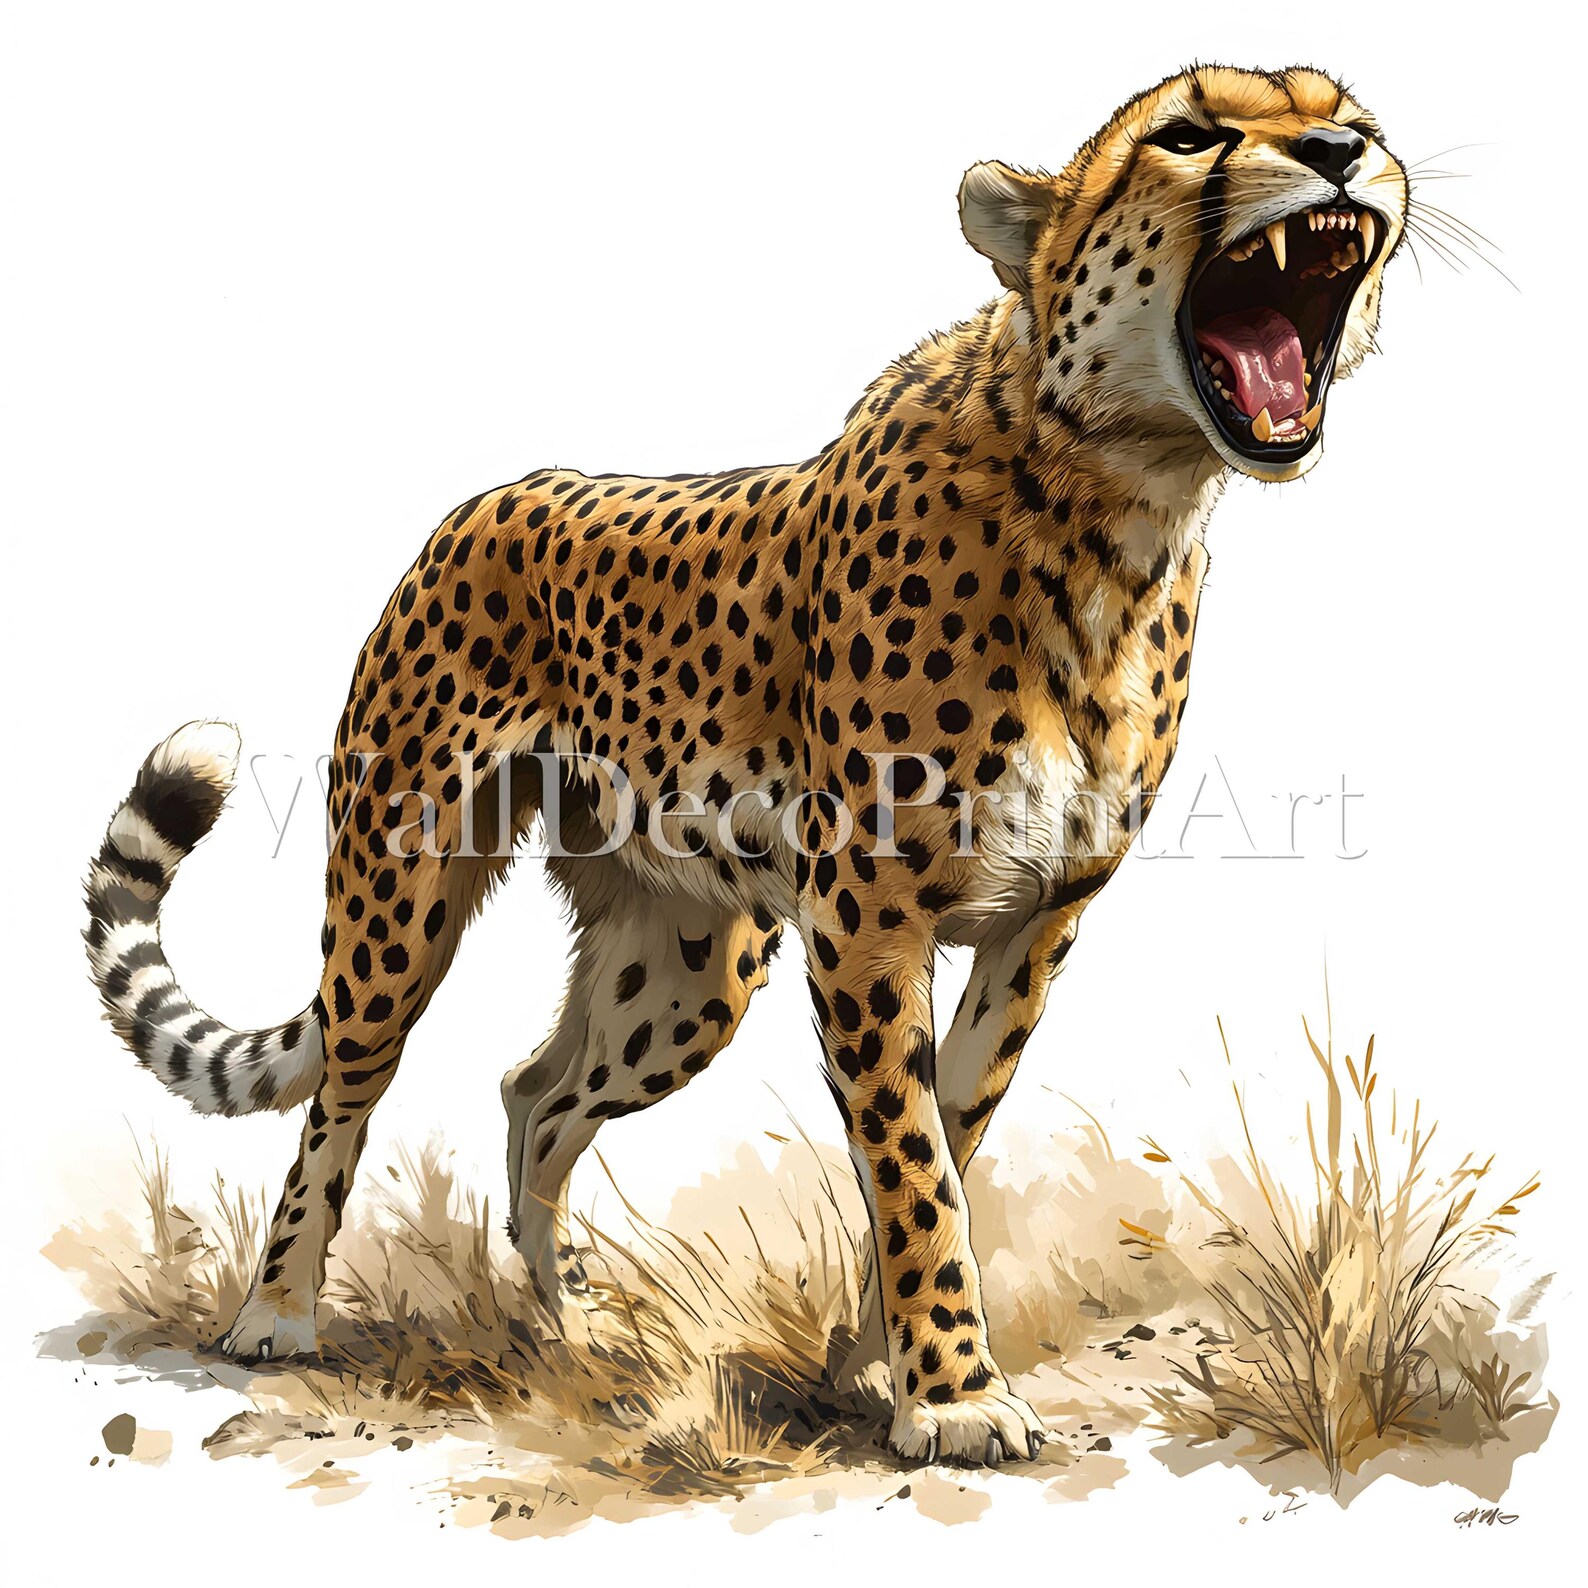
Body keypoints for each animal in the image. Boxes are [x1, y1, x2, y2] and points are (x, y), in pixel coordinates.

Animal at [85, 64, 1408, 1465]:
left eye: (1352, 113)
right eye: (1191, 134)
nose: (1342, 153)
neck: (1116, 502)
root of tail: (482, 503)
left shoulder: (1035, 920)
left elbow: (951, 1126)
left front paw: (878, 1362)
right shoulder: (867, 918)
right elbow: (913, 1161)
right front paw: (952, 1391)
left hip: (684, 969)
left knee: (534, 1091)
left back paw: (569, 1325)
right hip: (402, 891)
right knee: (345, 1088)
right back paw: (276, 1316)